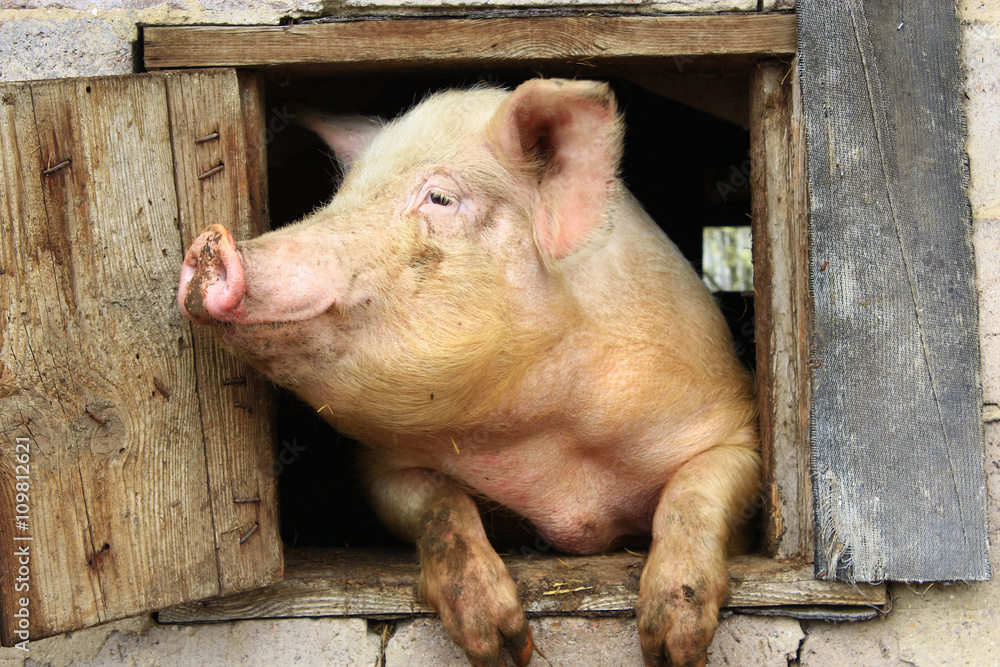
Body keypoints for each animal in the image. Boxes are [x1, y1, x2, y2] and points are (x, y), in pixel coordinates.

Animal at [177, 78, 760, 667]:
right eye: (341, 196)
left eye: (440, 198)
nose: (210, 243)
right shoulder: (382, 469)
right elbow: (439, 504)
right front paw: (503, 647)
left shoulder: (733, 424)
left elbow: (693, 494)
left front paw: (673, 647)